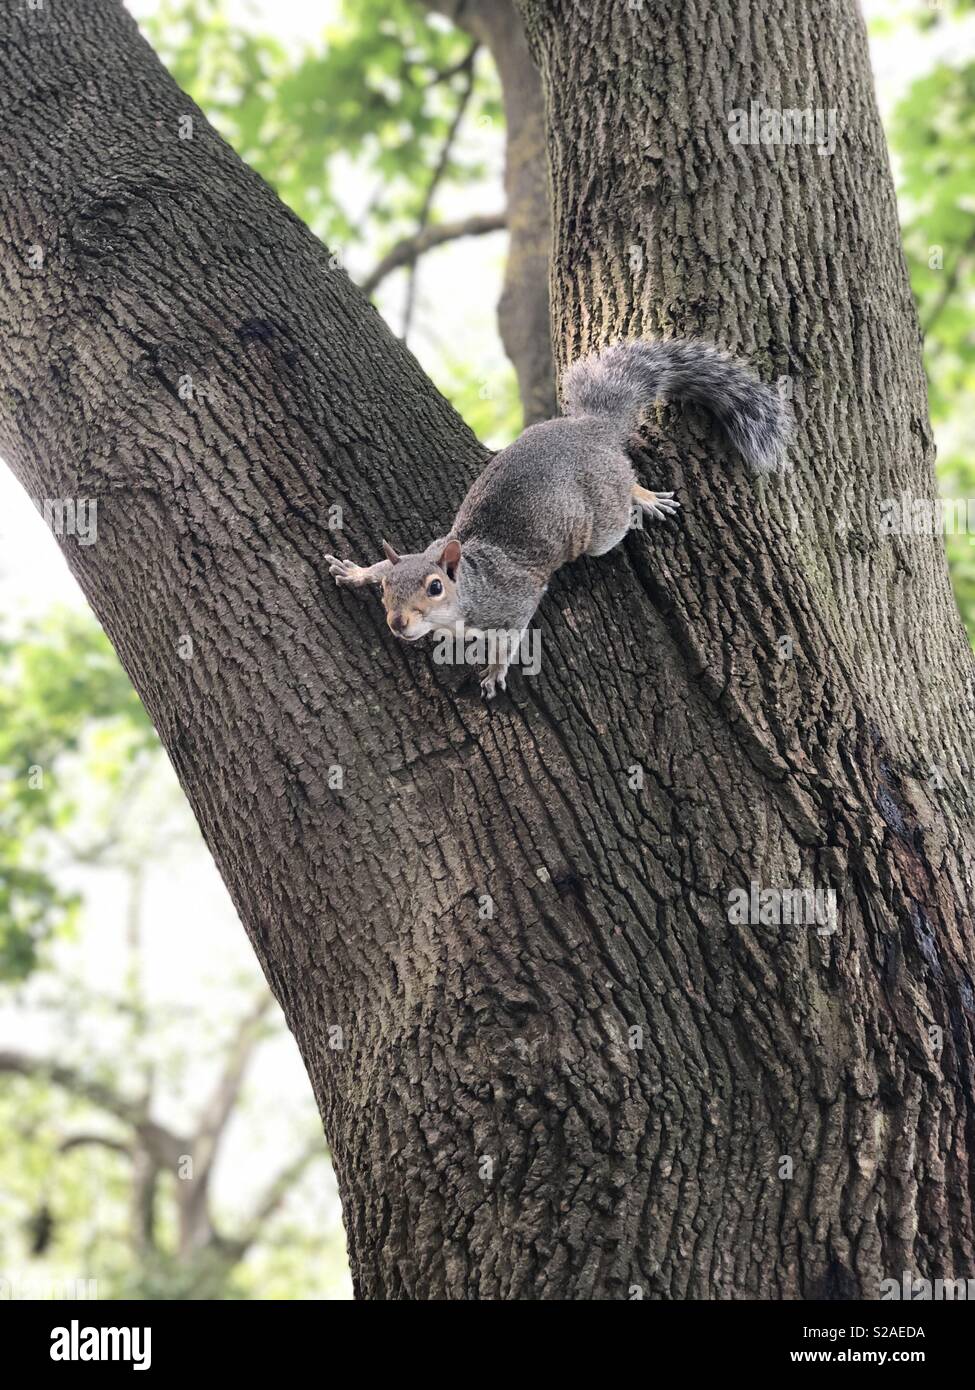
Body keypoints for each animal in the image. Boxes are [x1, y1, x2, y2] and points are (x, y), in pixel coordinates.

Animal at [326, 338, 790, 698]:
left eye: (435, 587)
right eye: (387, 587)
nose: (398, 622)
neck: (469, 585)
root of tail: (593, 427)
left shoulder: (511, 603)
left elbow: (509, 640)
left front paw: (494, 672)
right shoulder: (431, 546)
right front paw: (355, 571)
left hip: (602, 525)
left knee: (623, 491)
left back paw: (642, 497)